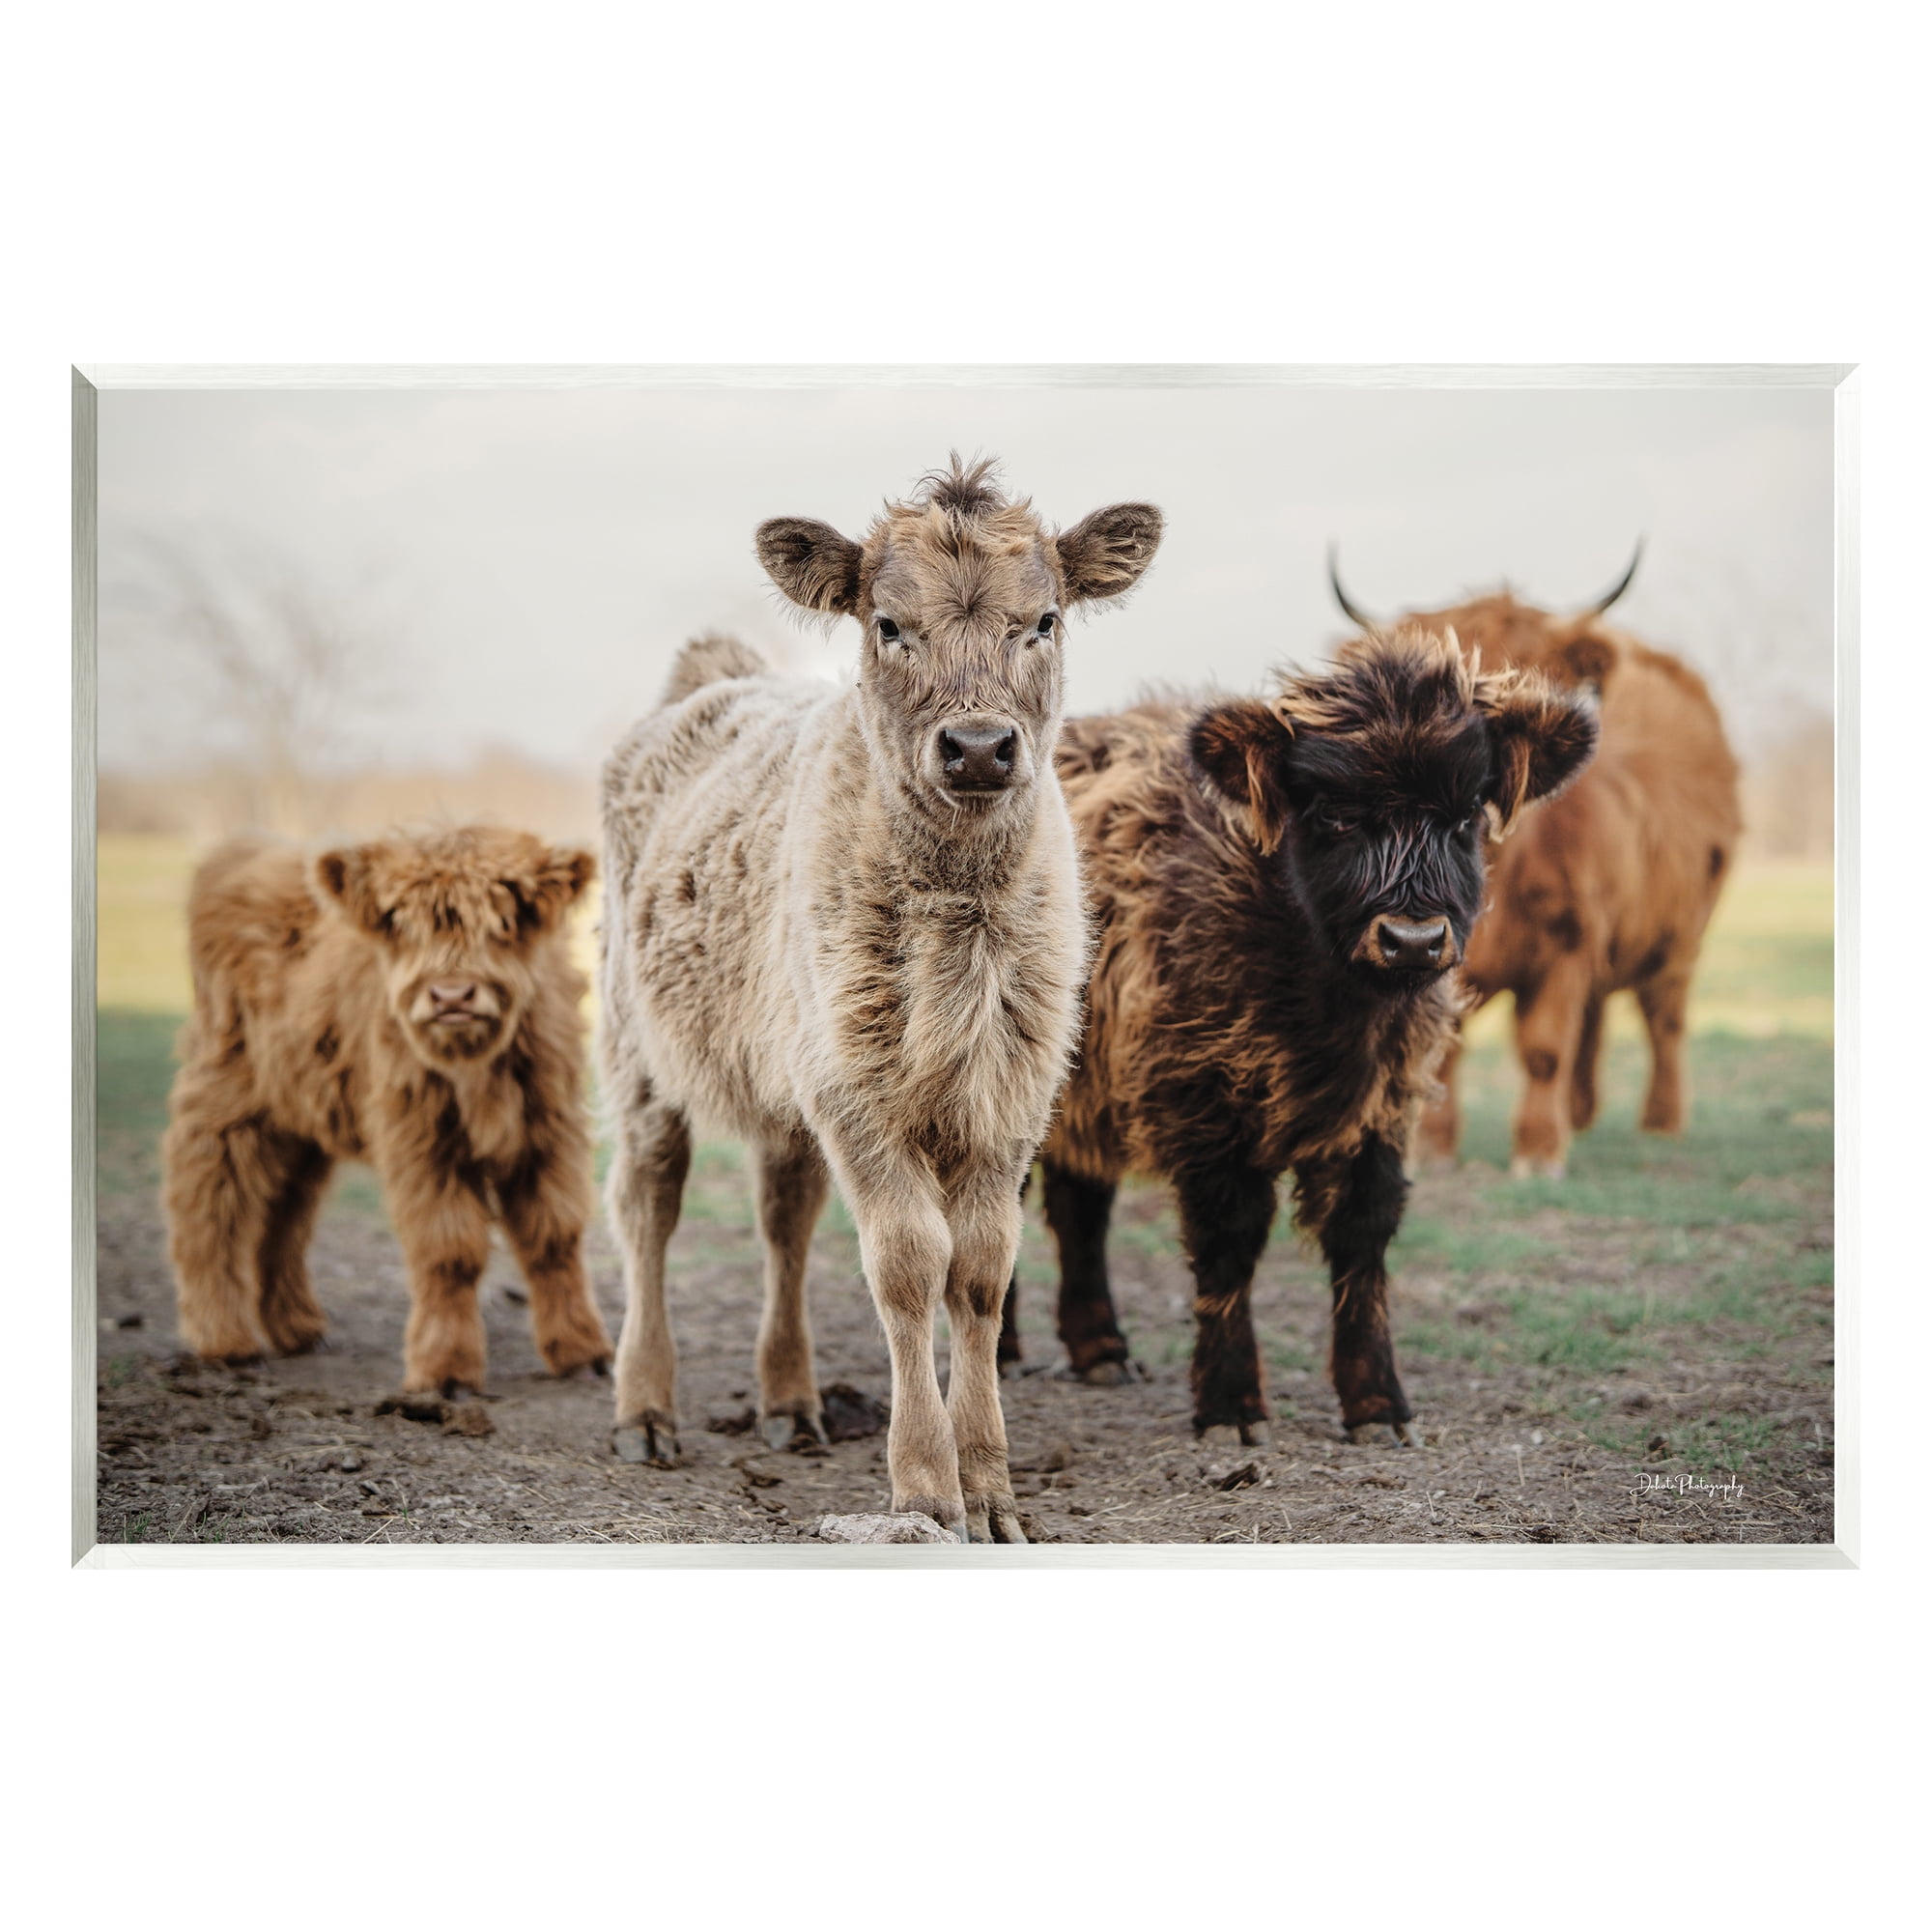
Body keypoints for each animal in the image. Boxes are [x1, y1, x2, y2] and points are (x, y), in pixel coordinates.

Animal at [162, 826, 612, 1395]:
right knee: (211, 1202)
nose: (451, 996)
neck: (474, 1066)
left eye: (504, 921)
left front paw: (583, 1353)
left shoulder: (548, 1130)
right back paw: (225, 1342)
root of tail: (240, 853)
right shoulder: (421, 1140)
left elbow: (554, 1235)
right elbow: (448, 1251)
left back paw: (297, 1328)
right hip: (227, 1097)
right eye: (401, 923)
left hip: (301, 1117)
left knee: (285, 1212)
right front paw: (445, 1371)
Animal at [598, 456, 1162, 1541]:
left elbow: (978, 1270)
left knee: (783, 1217)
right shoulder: (857, 1094)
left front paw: (990, 1487)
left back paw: (789, 1400)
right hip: (638, 1051)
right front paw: (926, 1485)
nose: (978, 747)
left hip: (789, 1069)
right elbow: (908, 1263)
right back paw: (645, 1407)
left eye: (1044, 620)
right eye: (889, 625)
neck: (960, 921)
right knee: (648, 1205)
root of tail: (714, 680)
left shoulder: (1009, 1092)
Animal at [997, 627, 1599, 1444]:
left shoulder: (1384, 1107)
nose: (1412, 941)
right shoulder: (1201, 1099)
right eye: (1333, 815)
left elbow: (1363, 1234)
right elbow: (1229, 1242)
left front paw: (1377, 1404)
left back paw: (1100, 1351)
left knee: (1079, 1204)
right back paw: (999, 1352)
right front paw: (1229, 1405)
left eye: (1467, 813)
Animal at [1330, 549, 1743, 1175]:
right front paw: (1435, 1149)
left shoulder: (1568, 941)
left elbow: (1545, 1047)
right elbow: (1447, 1051)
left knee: (1664, 1017)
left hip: (1680, 936)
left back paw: (1661, 1121)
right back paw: (1582, 1113)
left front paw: (1540, 1152)